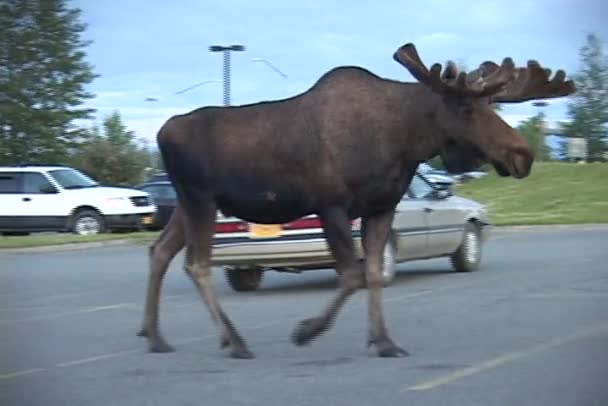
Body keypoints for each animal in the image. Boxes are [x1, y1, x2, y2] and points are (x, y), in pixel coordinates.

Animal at [137, 42, 576, 358]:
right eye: (467, 108)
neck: (405, 142)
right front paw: (306, 331)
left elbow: (374, 275)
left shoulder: (381, 208)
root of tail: (161, 133)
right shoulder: (332, 204)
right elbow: (351, 275)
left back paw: (155, 335)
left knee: (160, 251)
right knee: (196, 264)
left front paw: (385, 341)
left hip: (187, 204)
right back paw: (235, 341)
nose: (522, 154)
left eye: (492, 104)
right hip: (200, 198)